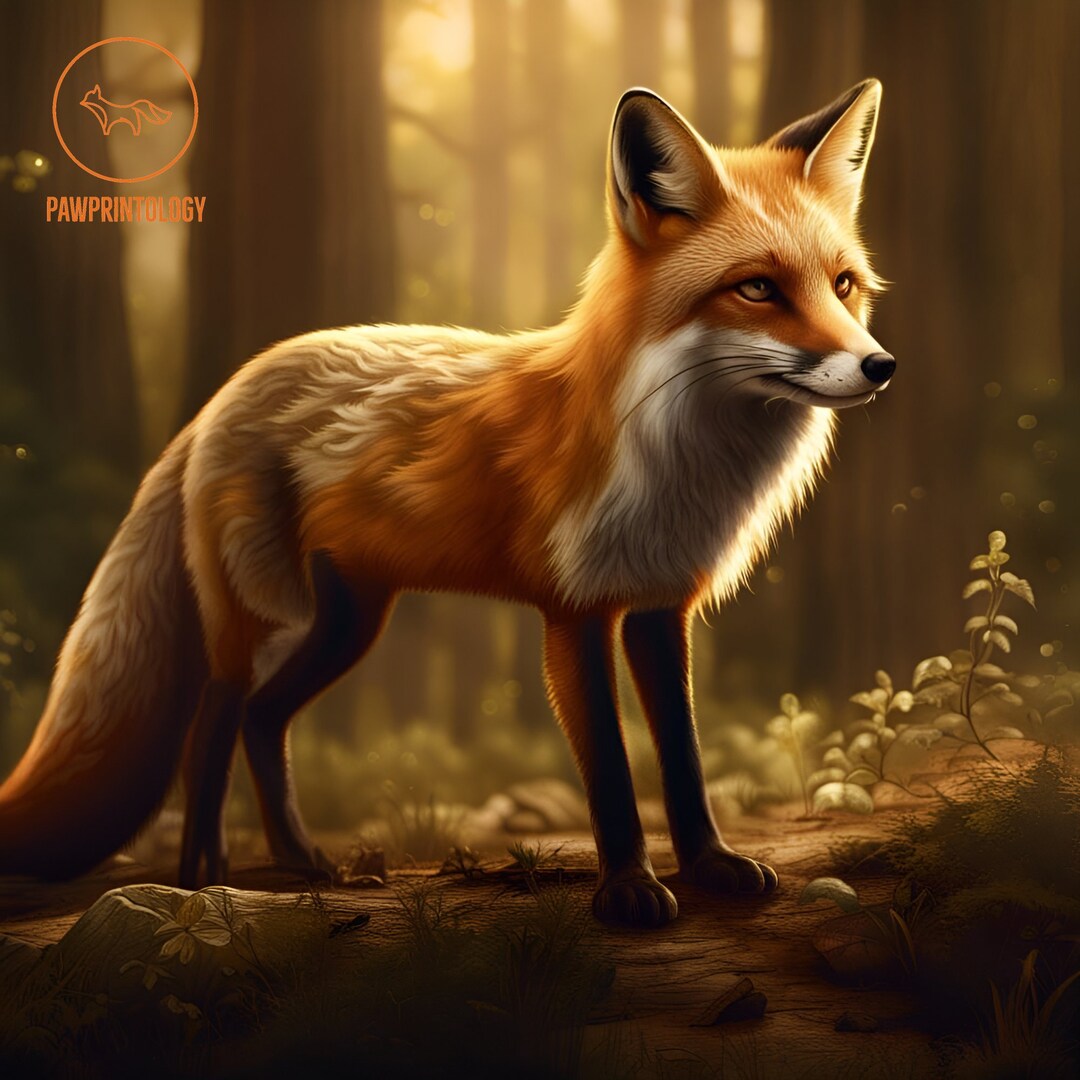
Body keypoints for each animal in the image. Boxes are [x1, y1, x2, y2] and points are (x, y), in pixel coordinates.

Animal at [0, 81, 893, 927]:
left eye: (843, 284)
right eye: (757, 288)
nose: (879, 365)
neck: (676, 452)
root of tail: (232, 386)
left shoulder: (657, 608)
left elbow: (683, 755)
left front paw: (711, 867)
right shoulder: (574, 613)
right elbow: (610, 768)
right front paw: (629, 892)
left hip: (348, 621)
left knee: (263, 719)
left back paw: (300, 862)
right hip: (263, 617)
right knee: (212, 722)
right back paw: (201, 875)